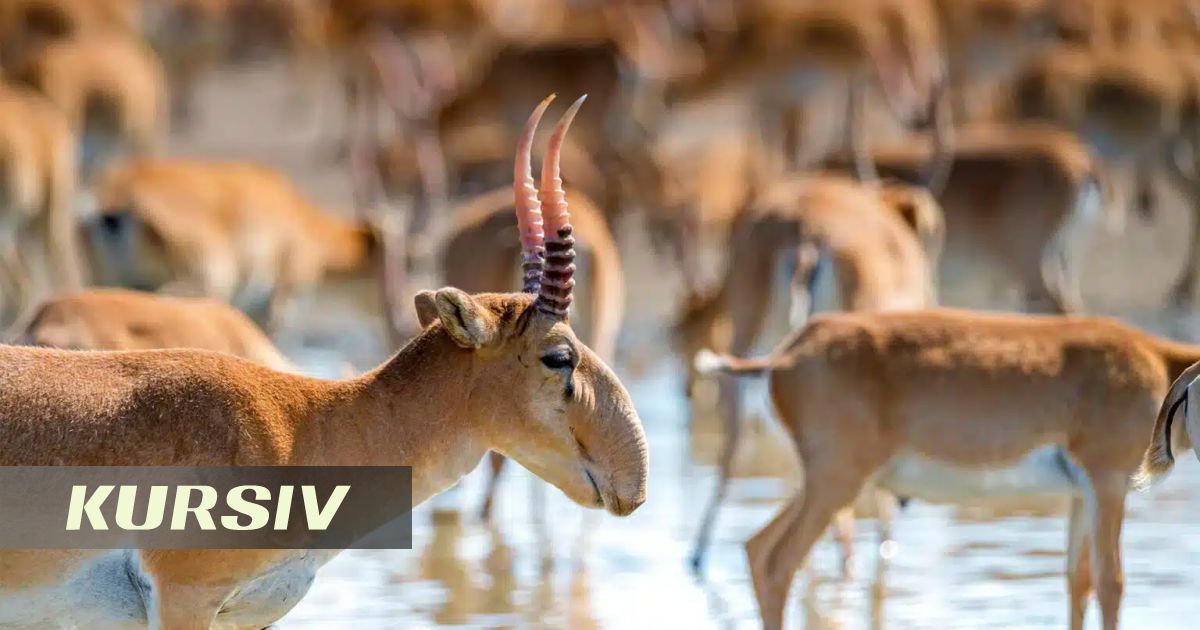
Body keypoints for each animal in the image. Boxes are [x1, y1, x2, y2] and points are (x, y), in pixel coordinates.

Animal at [695, 308, 1200, 630]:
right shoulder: (1108, 482)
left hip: (825, 483)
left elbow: (1079, 582)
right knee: (778, 562)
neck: (1158, 361)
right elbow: (1112, 583)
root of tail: (783, 356)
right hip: (836, 483)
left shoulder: (1081, 494)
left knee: (757, 549)